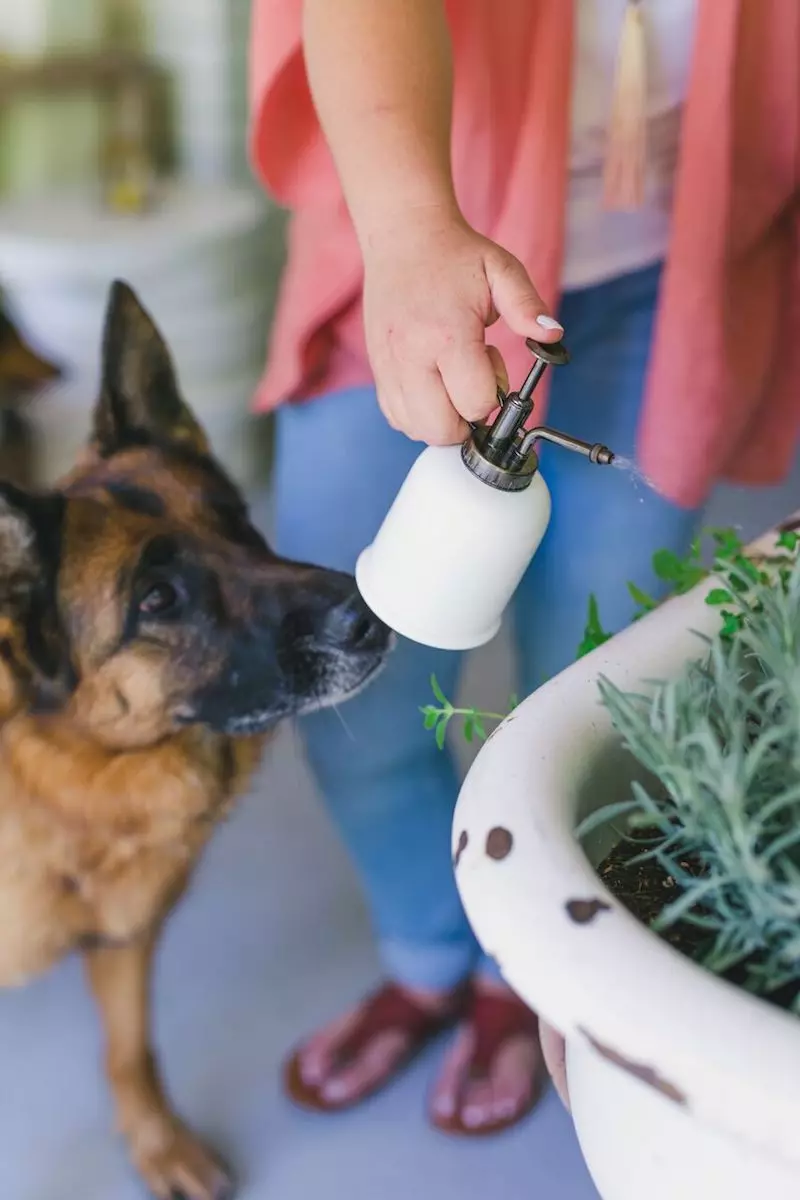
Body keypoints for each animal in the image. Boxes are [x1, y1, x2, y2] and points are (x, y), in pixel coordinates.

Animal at [0, 285, 391, 1200]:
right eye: (157, 599)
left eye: (239, 519)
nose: (368, 614)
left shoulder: (125, 935)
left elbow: (131, 1050)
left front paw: (158, 1143)